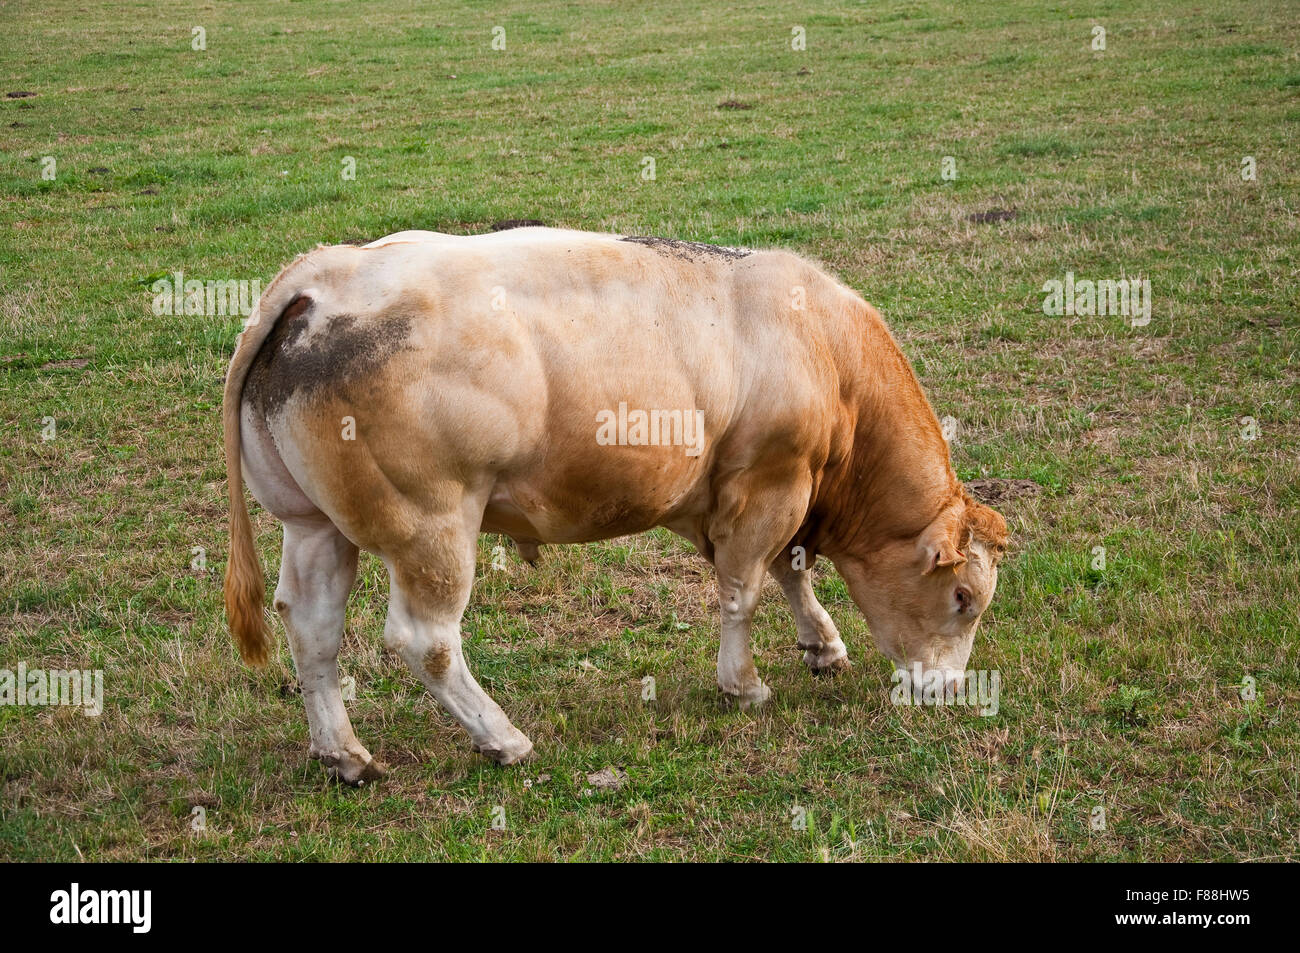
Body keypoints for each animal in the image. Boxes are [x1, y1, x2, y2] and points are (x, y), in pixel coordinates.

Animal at [223, 227, 1008, 783]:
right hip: (432, 526)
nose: (949, 691)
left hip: (313, 525)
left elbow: (789, 572)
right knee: (426, 639)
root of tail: (323, 277)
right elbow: (744, 588)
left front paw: (822, 644)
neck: (825, 349)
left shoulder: (761, 495)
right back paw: (503, 738)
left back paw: (344, 755)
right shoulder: (769, 483)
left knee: (312, 626)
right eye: (964, 597)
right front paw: (744, 685)